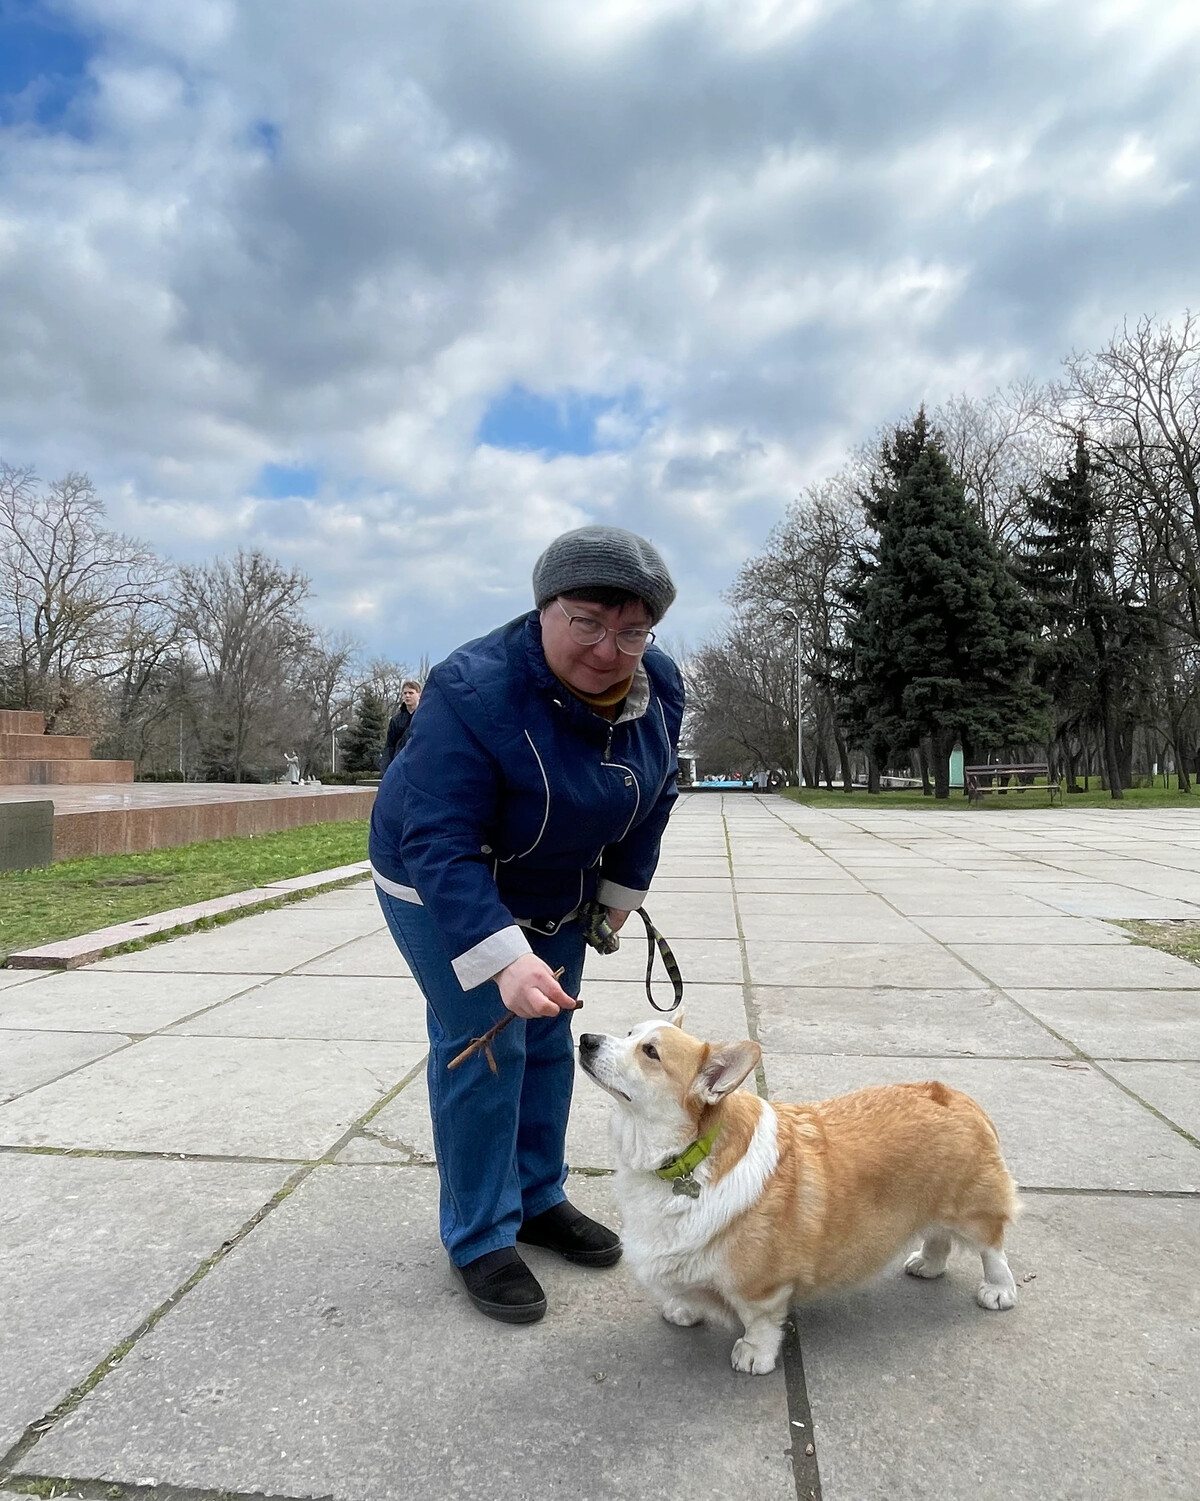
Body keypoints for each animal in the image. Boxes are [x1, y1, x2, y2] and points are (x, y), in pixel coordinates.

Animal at [576, 1014, 1021, 1374]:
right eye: (630, 1032)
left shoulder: (763, 1287)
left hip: (973, 1209)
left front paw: (753, 1355)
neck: (686, 1154)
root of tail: (958, 1098)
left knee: (992, 1247)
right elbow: (686, 1288)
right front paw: (683, 1309)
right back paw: (928, 1265)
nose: (585, 1038)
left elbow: (760, 1321)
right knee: (938, 1234)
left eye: (650, 1052)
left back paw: (998, 1290)